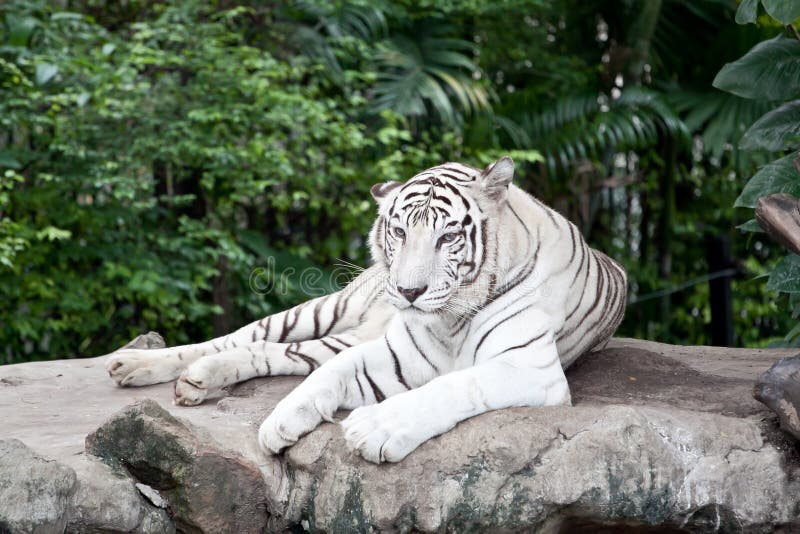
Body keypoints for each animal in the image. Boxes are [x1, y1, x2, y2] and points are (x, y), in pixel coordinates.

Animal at [106, 156, 627, 463]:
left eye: (448, 236)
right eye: (398, 231)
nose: (408, 291)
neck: (451, 320)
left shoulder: (530, 368)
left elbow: (454, 386)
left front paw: (375, 428)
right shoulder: (395, 353)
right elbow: (330, 374)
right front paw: (279, 422)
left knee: (275, 353)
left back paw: (194, 379)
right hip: (327, 309)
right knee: (239, 337)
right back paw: (136, 364)